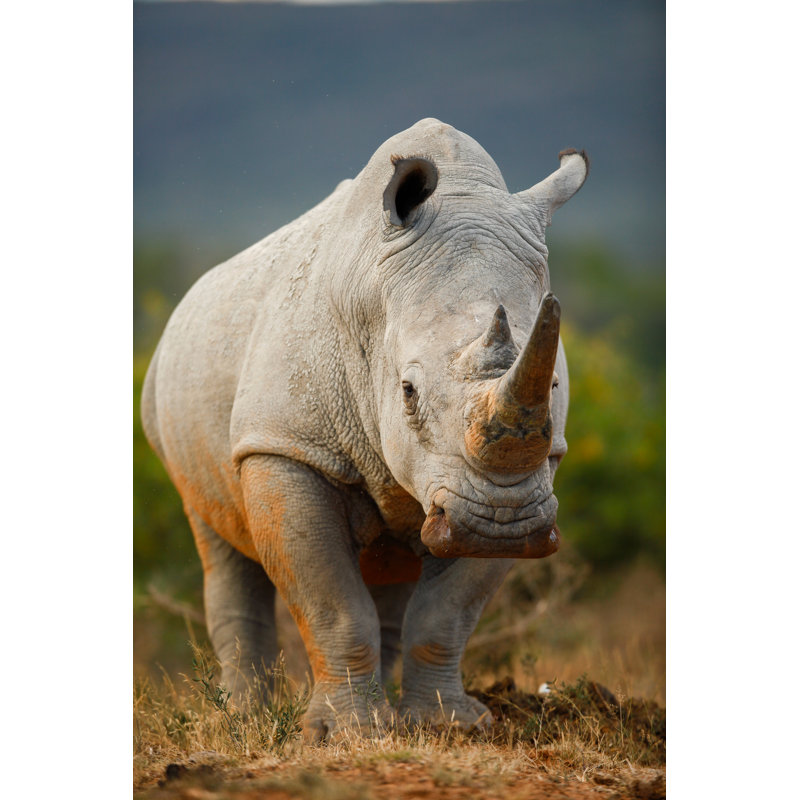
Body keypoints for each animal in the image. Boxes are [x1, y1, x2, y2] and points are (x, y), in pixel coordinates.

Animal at [141, 118, 588, 742]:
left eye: (553, 387)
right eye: (408, 391)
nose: (501, 523)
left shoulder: (531, 476)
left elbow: (447, 613)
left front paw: (451, 727)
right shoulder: (287, 447)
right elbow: (331, 600)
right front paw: (344, 735)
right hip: (172, 400)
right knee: (218, 538)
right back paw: (244, 719)